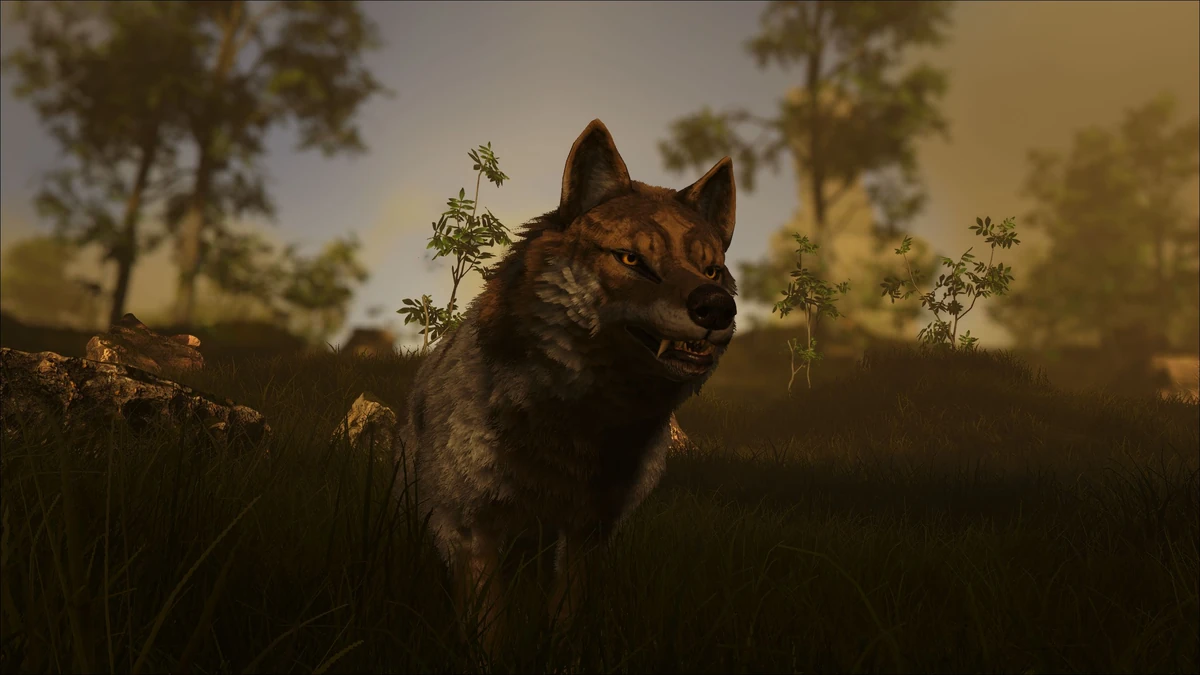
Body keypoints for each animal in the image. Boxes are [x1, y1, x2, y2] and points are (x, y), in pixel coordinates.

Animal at [401, 119, 737, 647]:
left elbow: (566, 618)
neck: (575, 424)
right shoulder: (471, 528)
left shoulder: (586, 531)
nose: (718, 307)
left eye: (711, 269)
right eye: (632, 260)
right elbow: (489, 629)